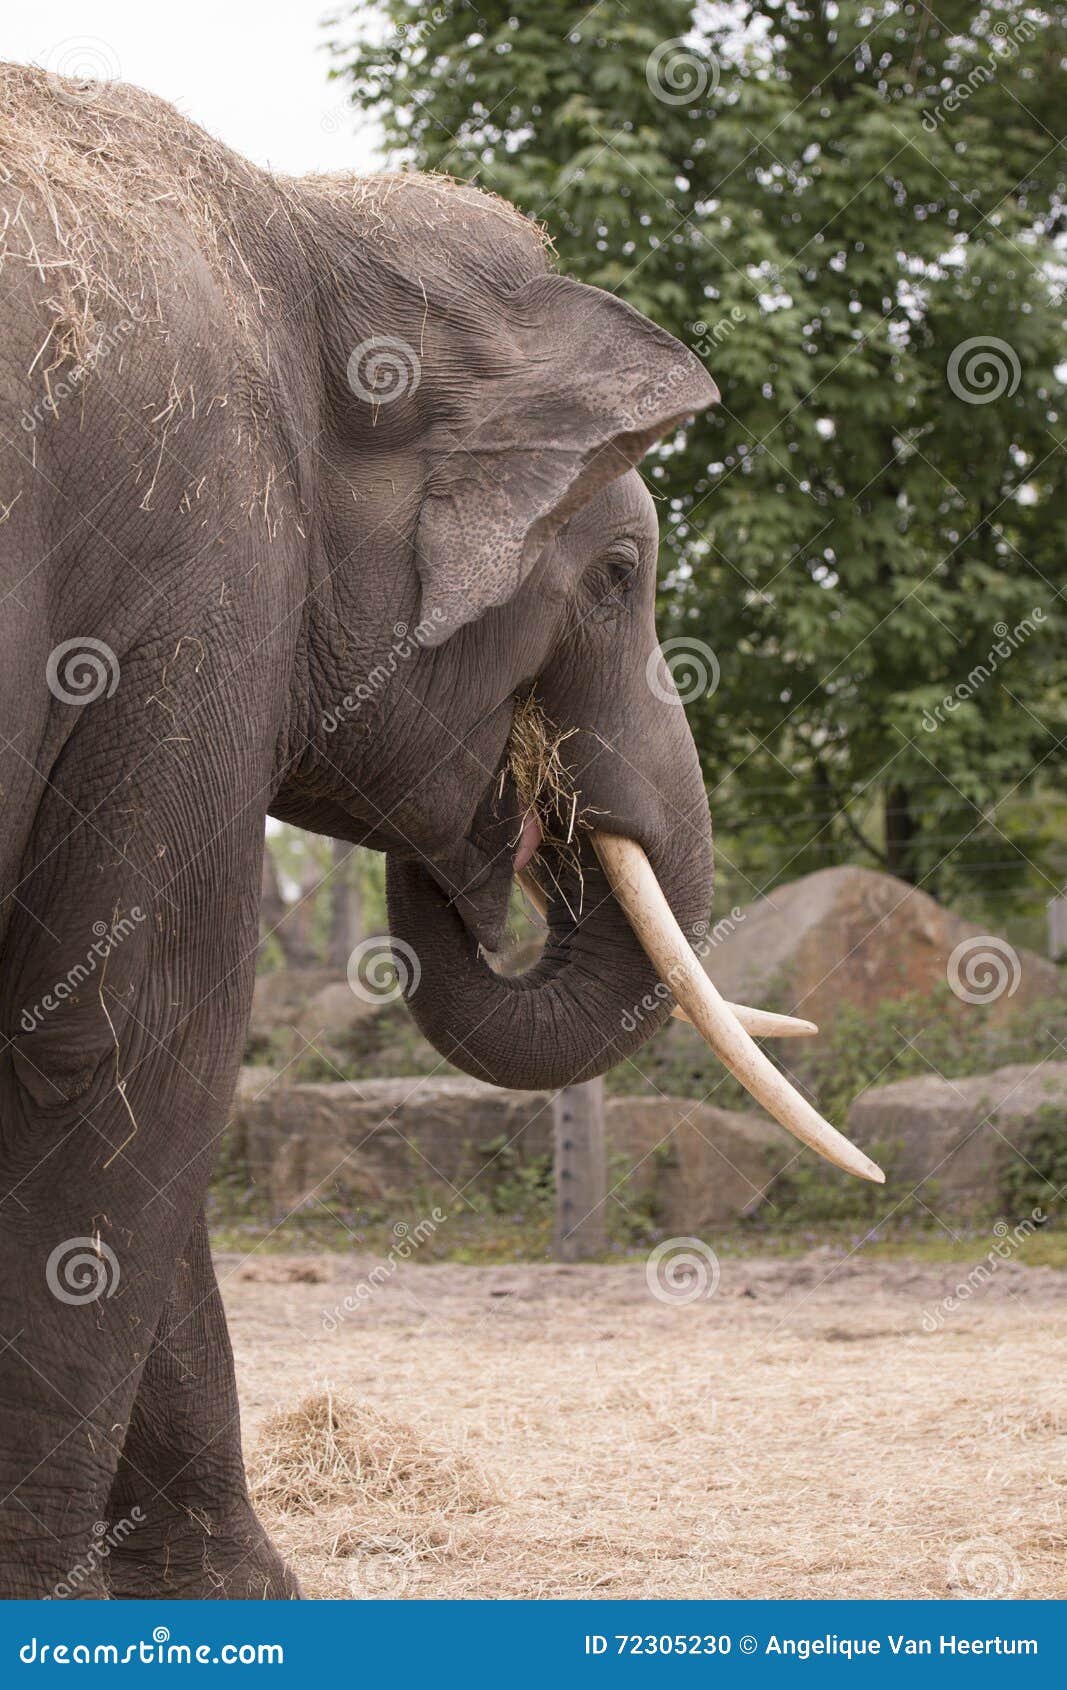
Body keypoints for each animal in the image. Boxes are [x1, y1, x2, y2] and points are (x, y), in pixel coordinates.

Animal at [0, 64, 876, 1598]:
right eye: (617, 571)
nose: (501, 829)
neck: (314, 229)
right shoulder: (194, 577)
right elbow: (129, 1035)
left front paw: (245, 1599)